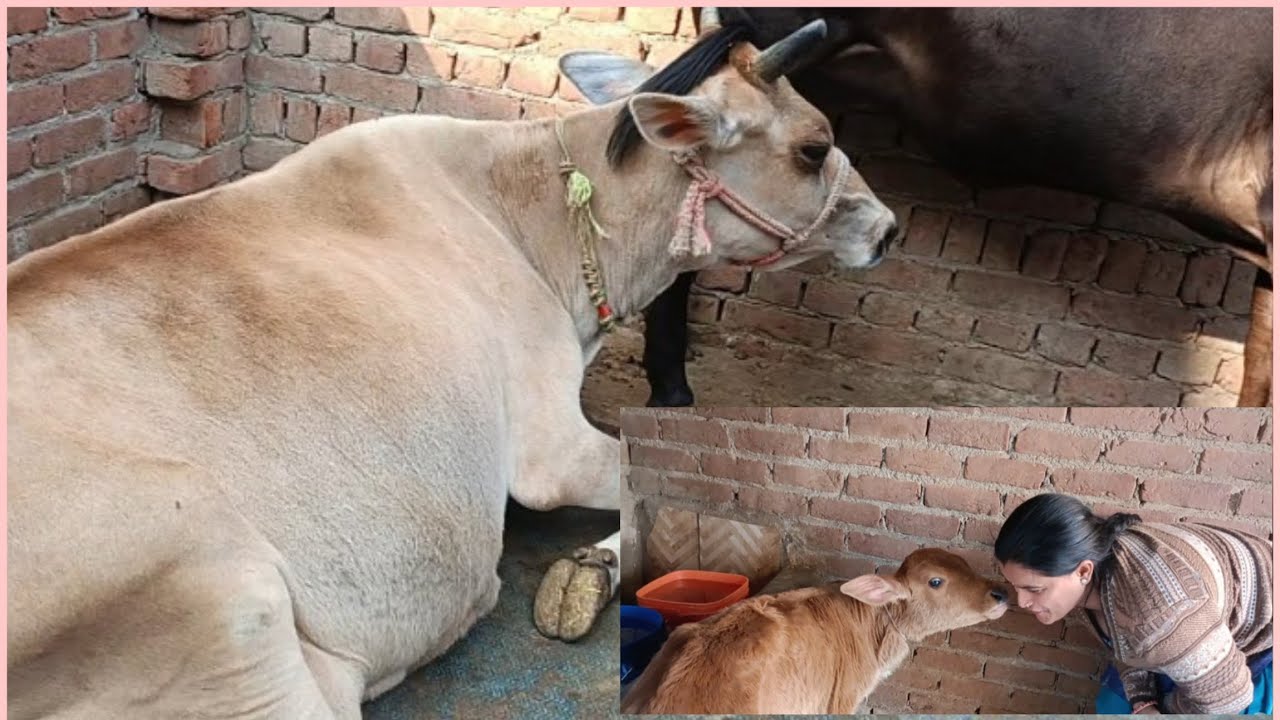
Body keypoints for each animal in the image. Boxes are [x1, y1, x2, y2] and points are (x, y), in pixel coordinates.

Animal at [5, 23, 899, 720]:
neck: (535, 217)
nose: (890, 229)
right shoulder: (548, 449)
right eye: (815, 147)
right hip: (228, 602)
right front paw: (594, 571)